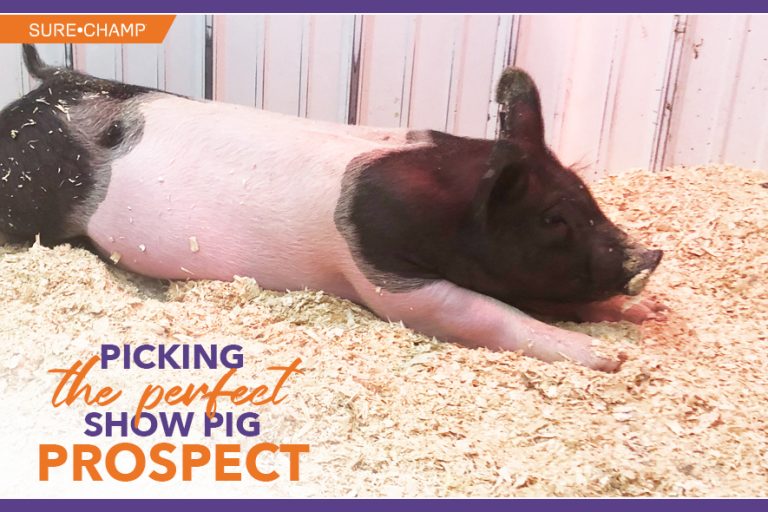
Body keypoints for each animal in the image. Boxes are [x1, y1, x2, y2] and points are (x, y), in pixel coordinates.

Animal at [0, 44, 663, 371]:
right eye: (553, 219)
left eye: (588, 198)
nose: (648, 255)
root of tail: (48, 85)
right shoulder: (384, 276)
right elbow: (487, 313)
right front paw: (608, 358)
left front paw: (647, 314)